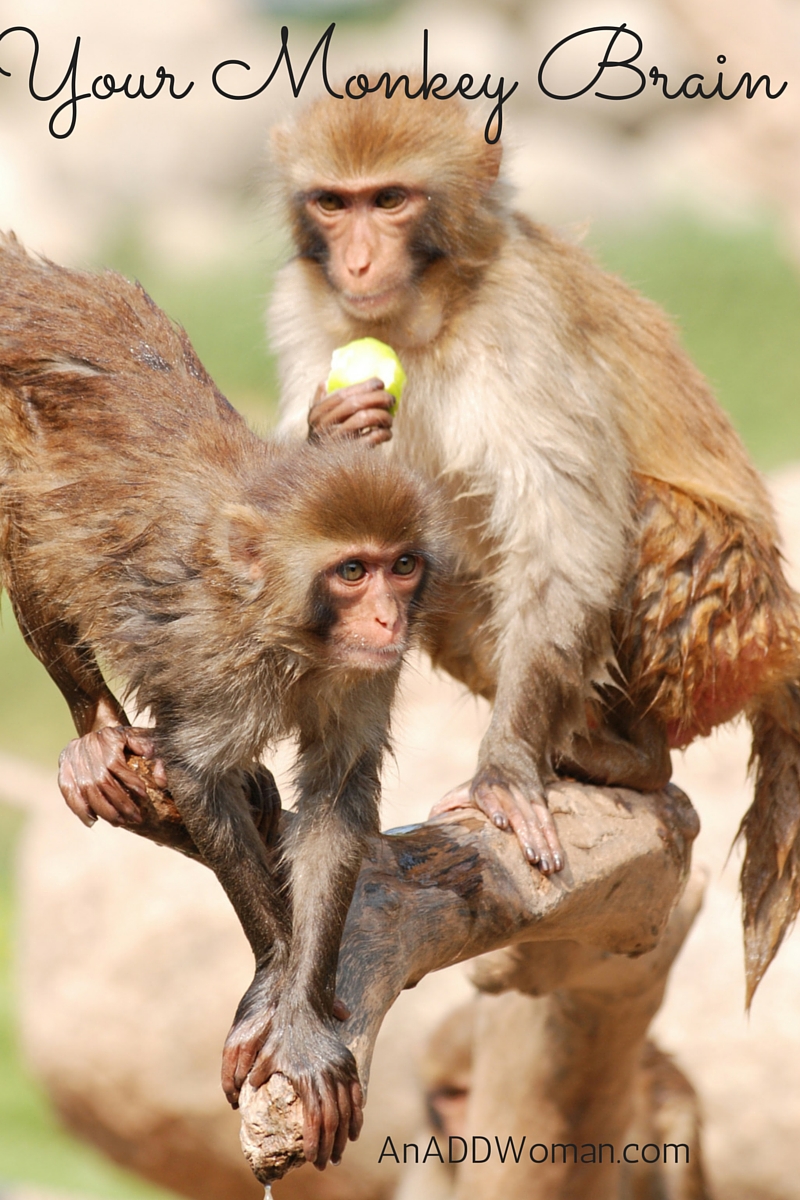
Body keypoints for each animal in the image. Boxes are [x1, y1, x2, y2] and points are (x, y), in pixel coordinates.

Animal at [0, 233, 449, 1169]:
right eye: (352, 571)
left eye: (400, 567)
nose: (389, 618)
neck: (293, 630)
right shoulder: (215, 657)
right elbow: (199, 775)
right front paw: (277, 986)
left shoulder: (366, 671)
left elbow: (336, 800)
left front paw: (298, 1008)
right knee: (34, 514)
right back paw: (99, 733)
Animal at [262, 88, 800, 1003]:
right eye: (334, 202)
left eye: (390, 200)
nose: (358, 262)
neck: (430, 310)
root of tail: (781, 639)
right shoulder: (307, 315)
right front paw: (329, 431)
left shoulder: (524, 321)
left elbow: (564, 534)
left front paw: (506, 768)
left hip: (734, 621)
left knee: (627, 517)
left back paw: (630, 758)